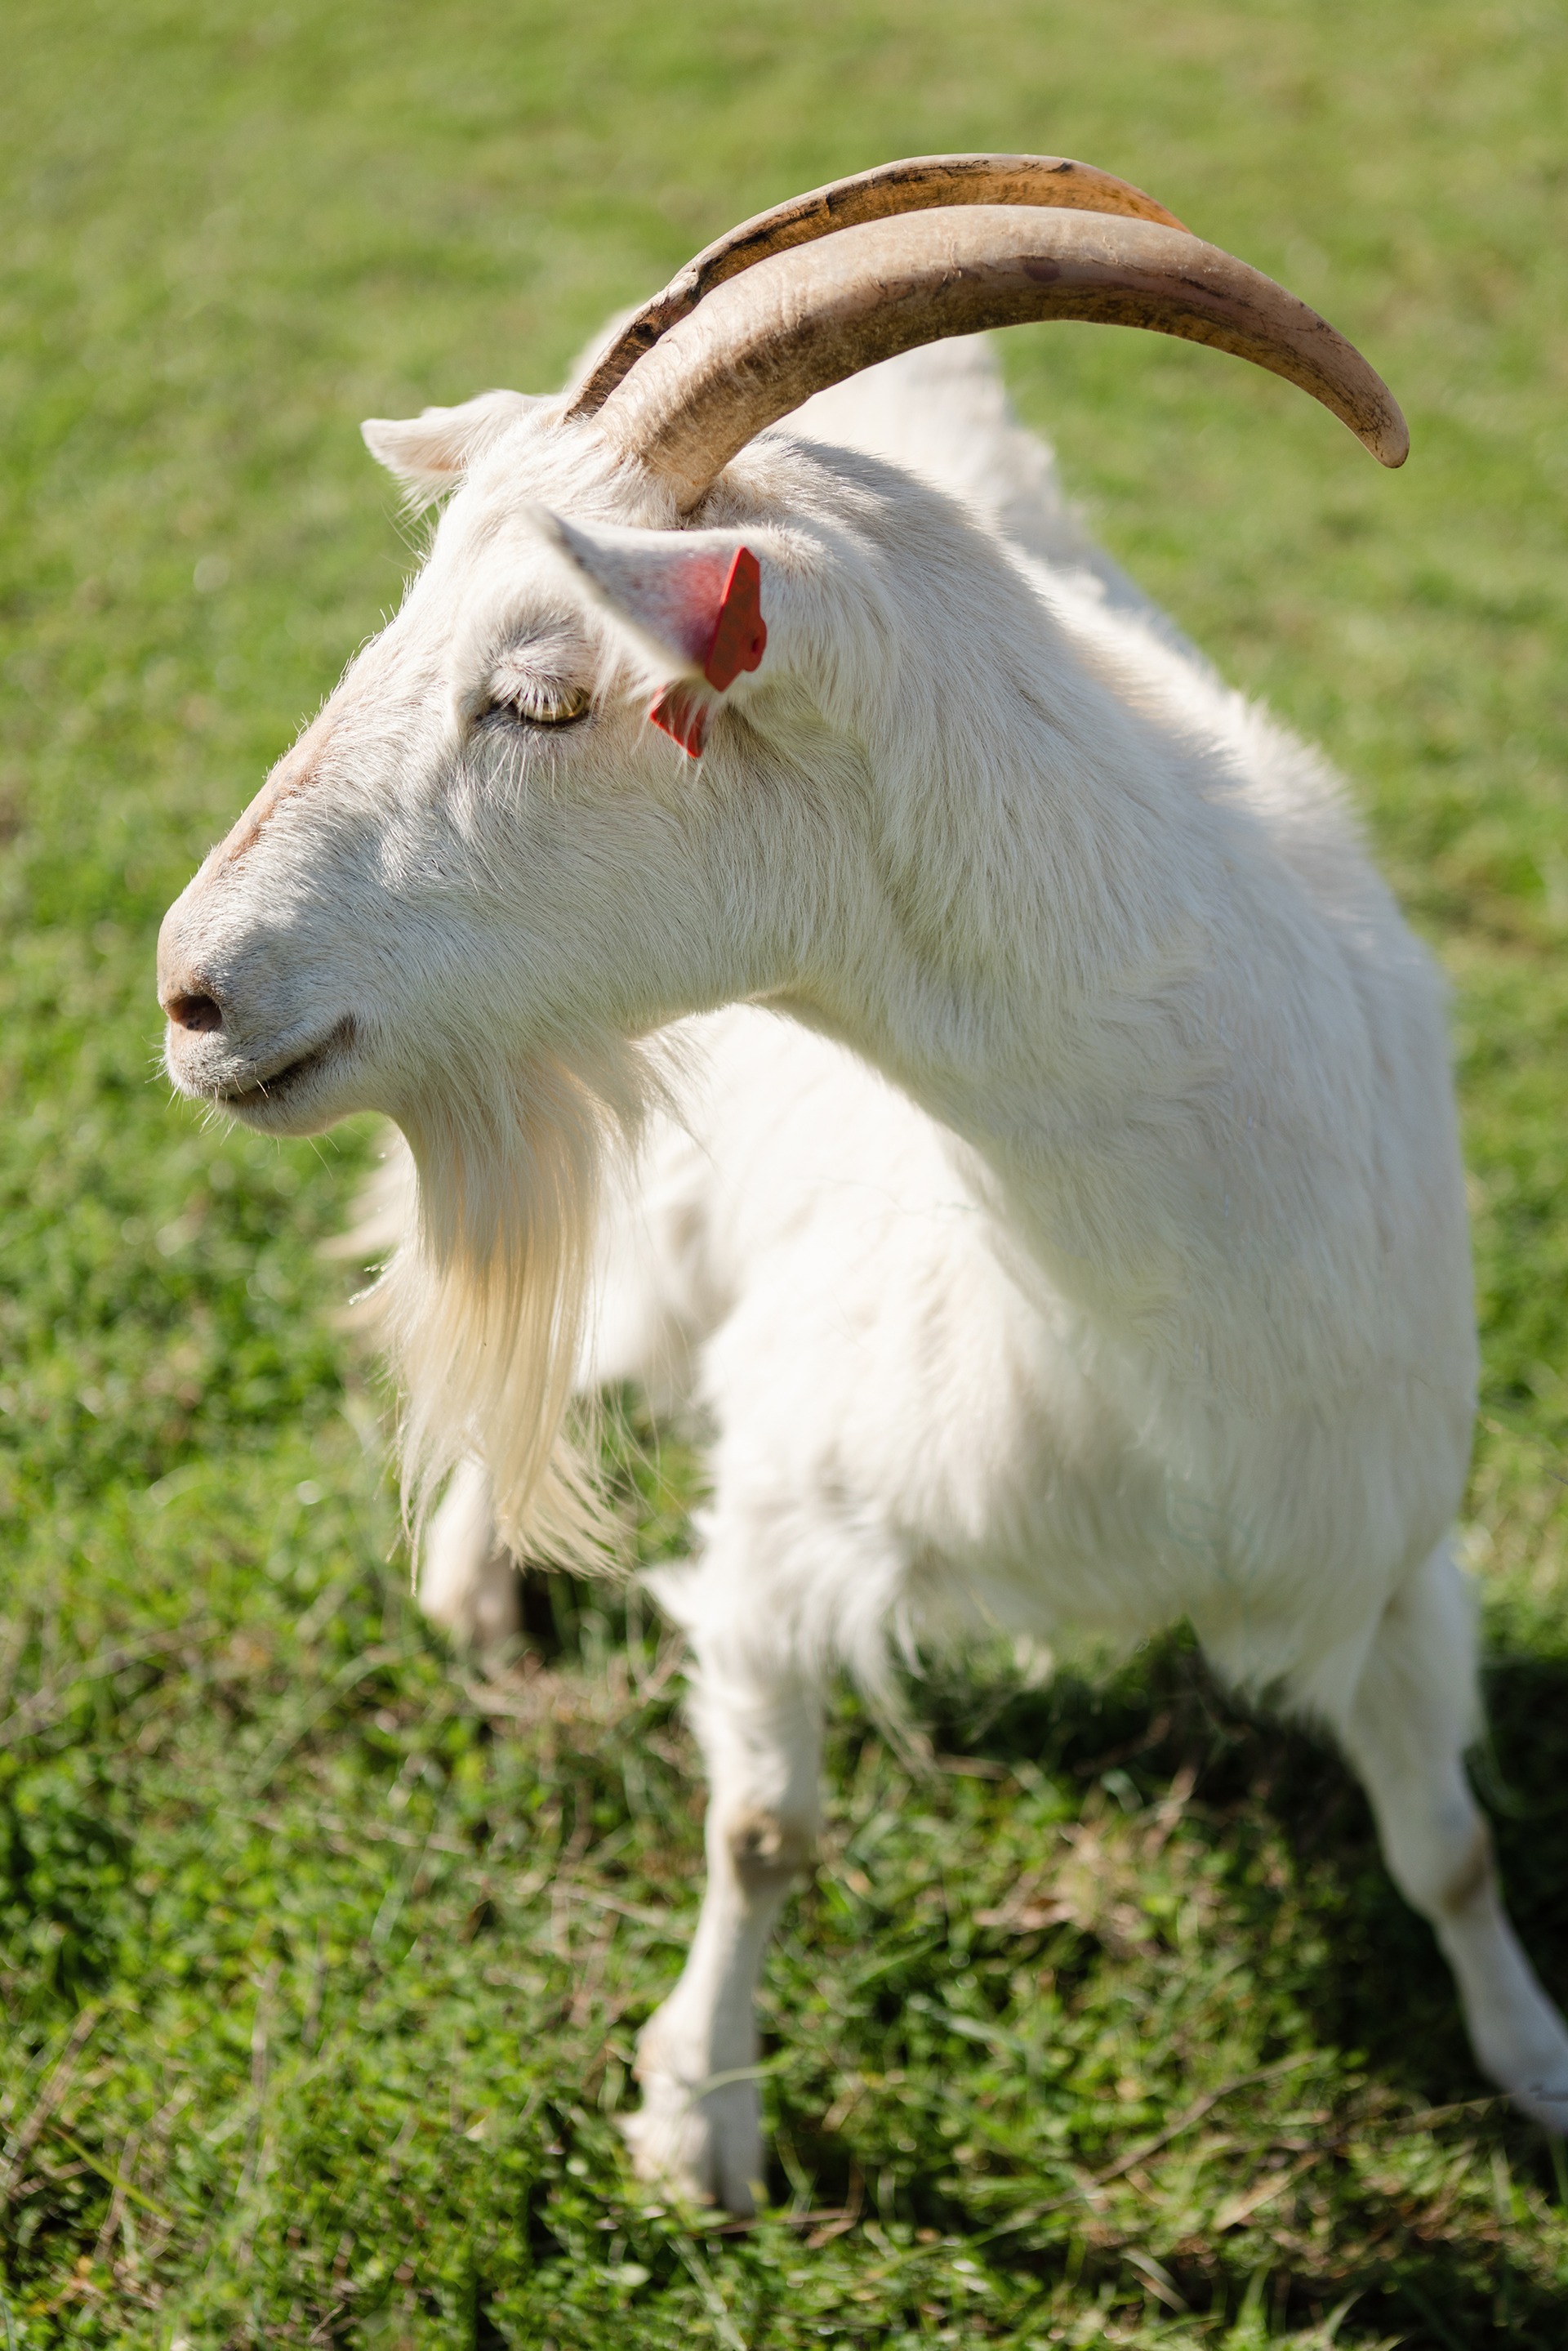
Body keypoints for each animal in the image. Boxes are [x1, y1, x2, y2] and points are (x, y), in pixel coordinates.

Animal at [158, 155, 1568, 2214]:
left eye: (543, 696)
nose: (191, 990)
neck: (1118, 1255)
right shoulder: (788, 1506)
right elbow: (761, 1830)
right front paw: (698, 2119)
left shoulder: (1385, 1547)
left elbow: (1448, 1843)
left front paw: (1530, 2056)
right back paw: (477, 1583)